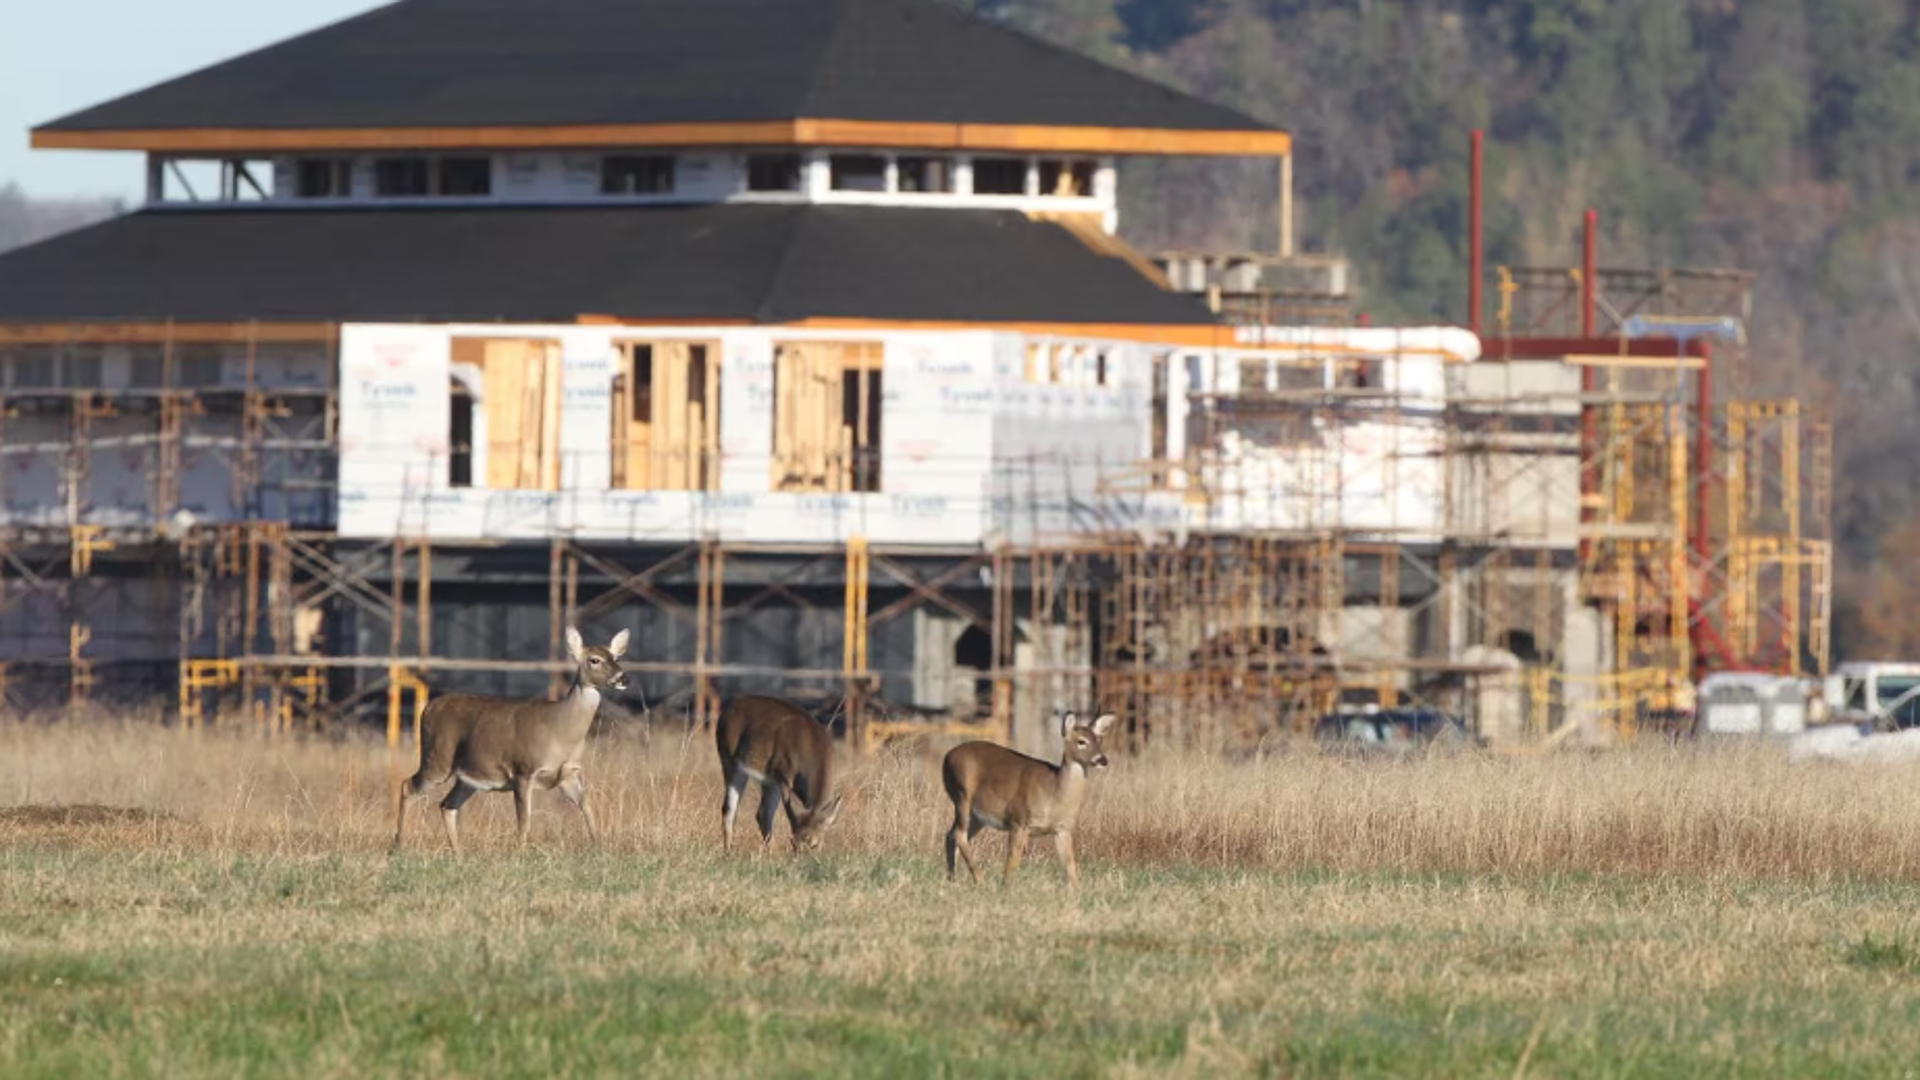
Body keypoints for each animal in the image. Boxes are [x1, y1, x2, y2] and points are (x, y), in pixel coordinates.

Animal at [390, 626, 629, 855]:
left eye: (615, 657)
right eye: (594, 660)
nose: (623, 678)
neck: (559, 731)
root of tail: (428, 707)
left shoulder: (569, 774)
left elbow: (587, 807)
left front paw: (600, 849)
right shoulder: (524, 770)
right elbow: (524, 821)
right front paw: (519, 856)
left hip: (466, 777)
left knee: (447, 805)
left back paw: (458, 855)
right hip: (437, 758)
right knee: (407, 785)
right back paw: (398, 847)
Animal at [715, 694, 844, 853]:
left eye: (815, 844)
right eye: (792, 841)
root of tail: (726, 710)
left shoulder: (775, 781)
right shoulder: (783, 777)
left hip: (768, 781)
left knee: (760, 814)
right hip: (730, 761)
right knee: (730, 809)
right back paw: (729, 852)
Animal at [942, 711, 1116, 888]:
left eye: (1099, 740)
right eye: (1081, 741)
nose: (1102, 760)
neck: (1054, 794)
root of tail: (947, 756)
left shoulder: (1063, 829)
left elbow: (1070, 866)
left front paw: (1077, 891)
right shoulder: (1018, 820)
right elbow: (1012, 860)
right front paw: (1006, 888)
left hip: (978, 816)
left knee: (951, 835)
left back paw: (952, 879)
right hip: (962, 795)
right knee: (959, 834)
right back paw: (980, 879)